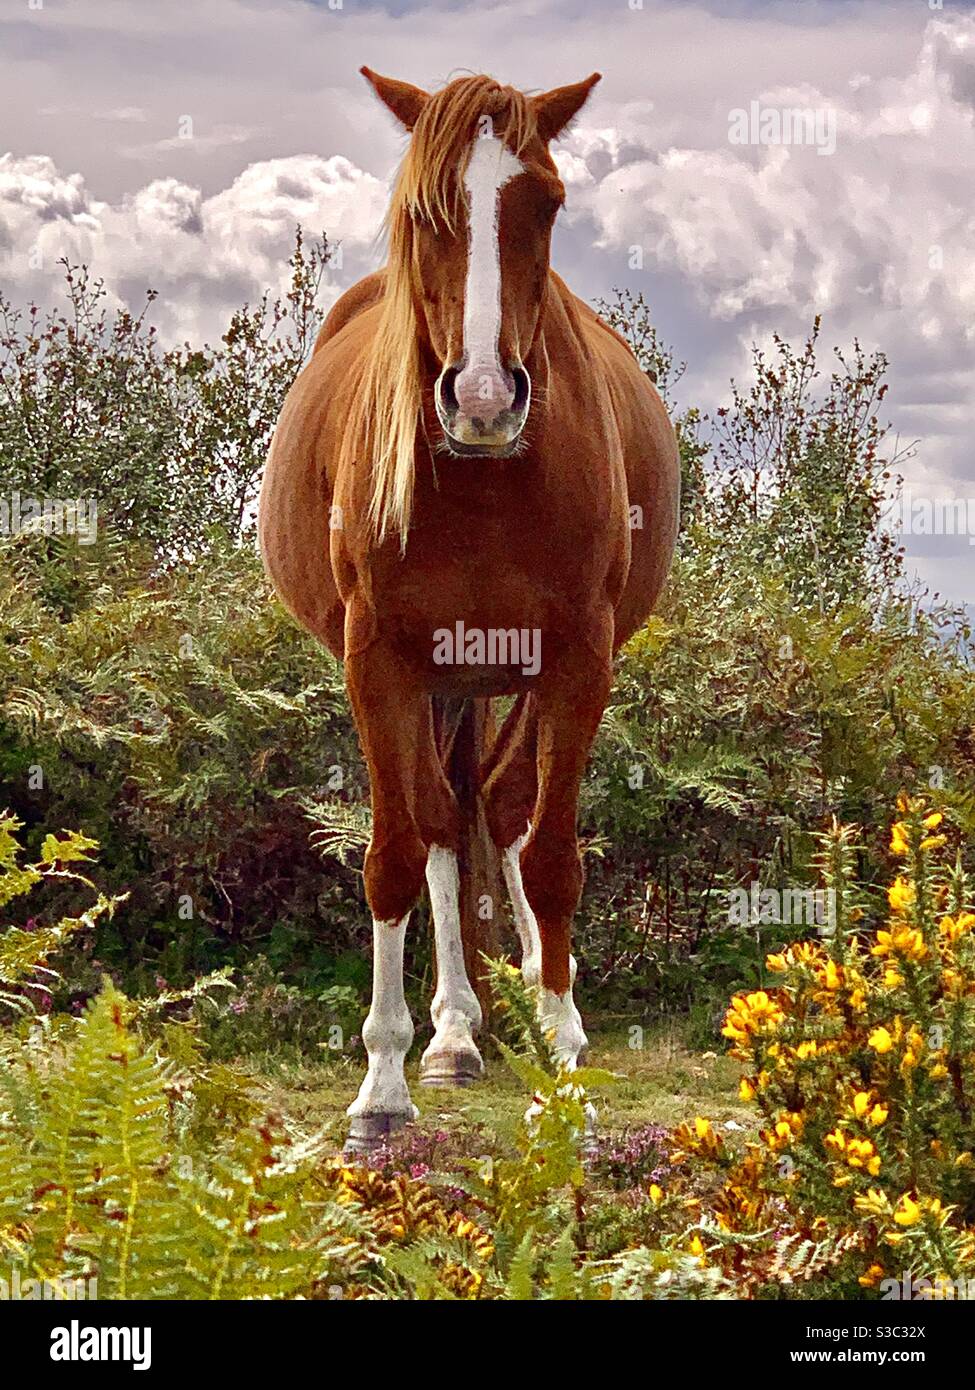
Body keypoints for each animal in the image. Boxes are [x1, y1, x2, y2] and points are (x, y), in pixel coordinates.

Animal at [258, 67, 680, 1151]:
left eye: (548, 203)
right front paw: (381, 1089)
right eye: (422, 211)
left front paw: (564, 1067)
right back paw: (450, 1035)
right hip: (443, 678)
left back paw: (538, 1013)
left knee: (503, 812)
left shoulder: (576, 657)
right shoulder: (380, 660)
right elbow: (396, 855)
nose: (483, 400)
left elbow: (551, 855)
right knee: (449, 822)